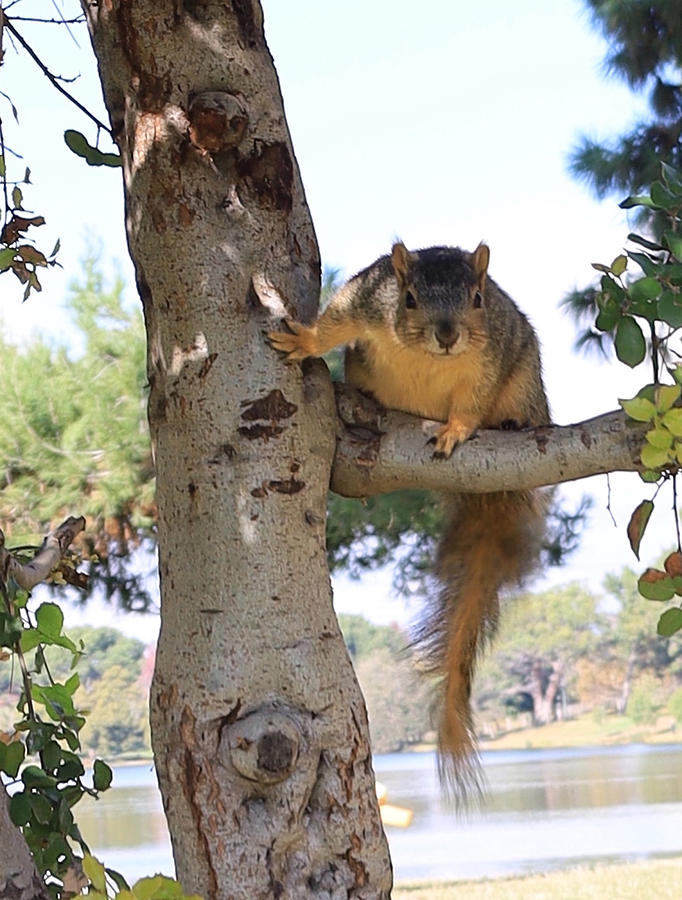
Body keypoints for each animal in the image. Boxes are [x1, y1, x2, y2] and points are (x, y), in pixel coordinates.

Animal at [268, 241, 550, 800]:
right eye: (410, 298)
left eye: (478, 298)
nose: (447, 334)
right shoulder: (366, 300)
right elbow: (334, 322)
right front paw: (305, 340)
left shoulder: (491, 355)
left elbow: (474, 400)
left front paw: (457, 429)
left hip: (526, 381)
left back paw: (513, 423)